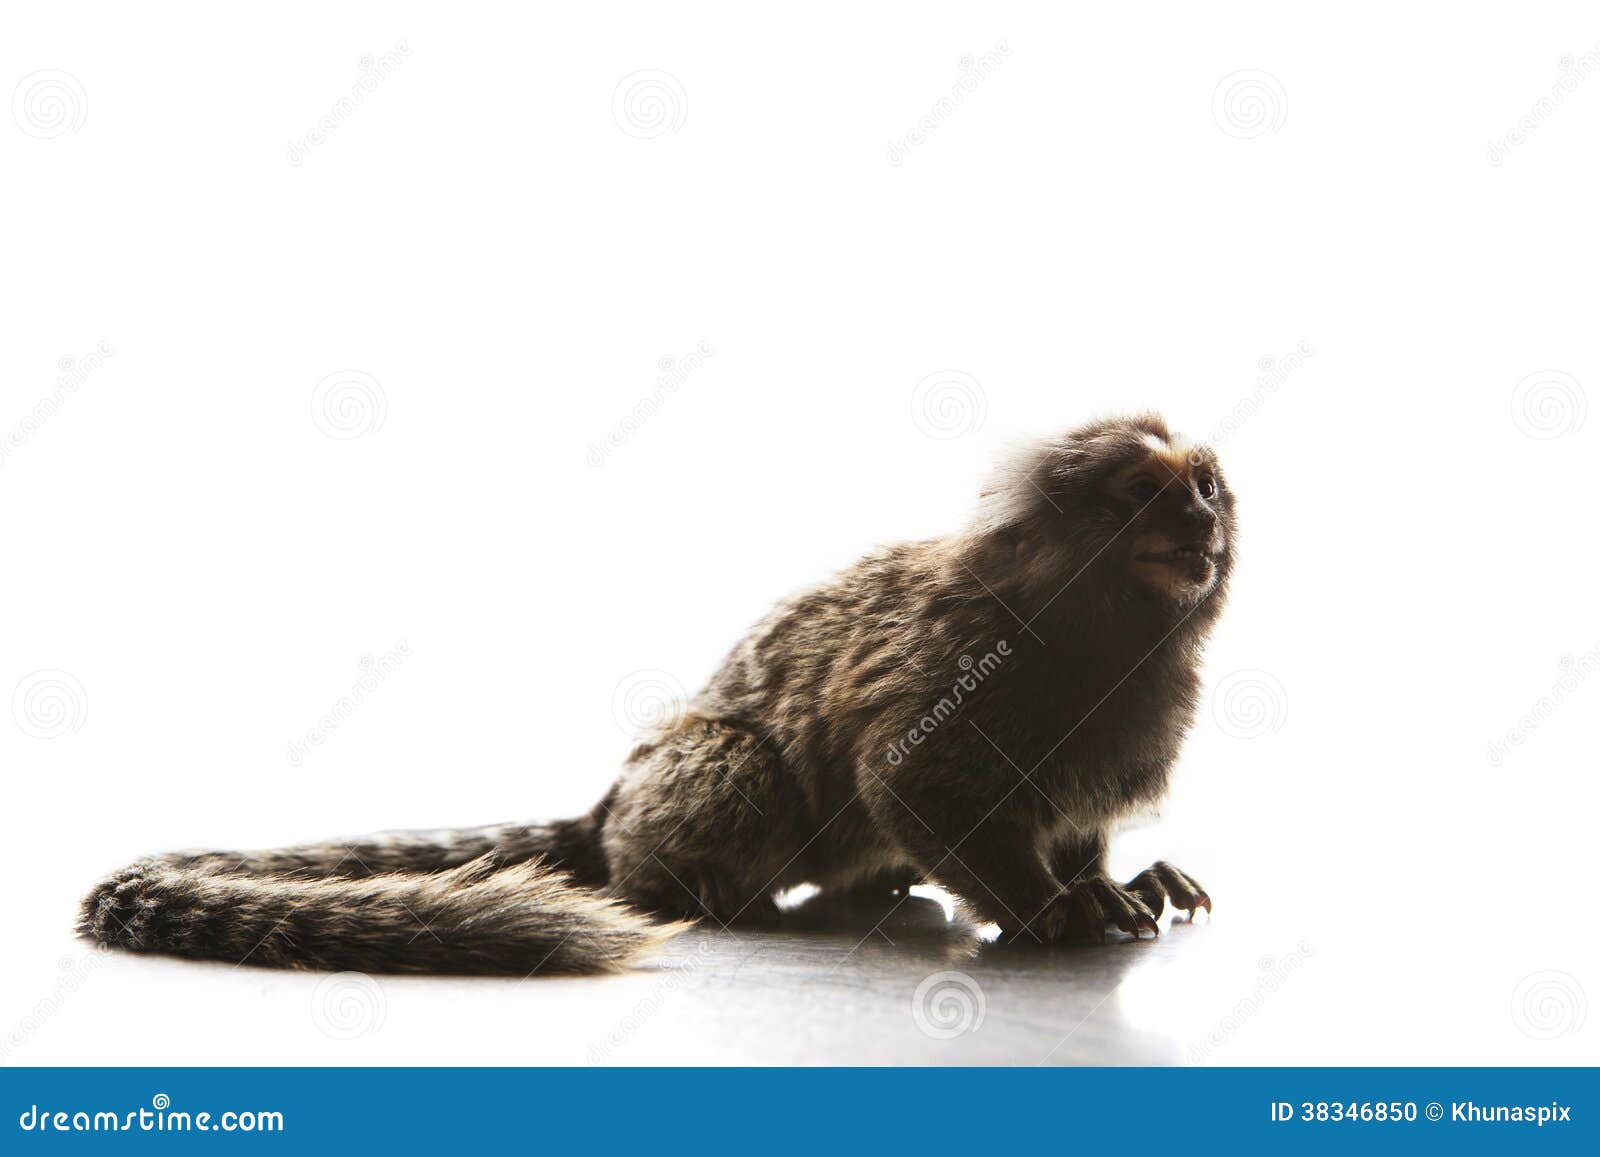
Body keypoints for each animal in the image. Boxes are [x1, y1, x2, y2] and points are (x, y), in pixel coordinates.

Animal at [80, 412, 1233, 975]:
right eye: (1143, 494)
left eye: (1206, 484)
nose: (1201, 523)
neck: (1094, 636)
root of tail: (608, 811)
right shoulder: (962, 674)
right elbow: (914, 786)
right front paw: (1054, 909)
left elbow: (1074, 826)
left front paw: (1117, 879)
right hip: (699, 783)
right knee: (742, 766)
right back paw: (700, 889)